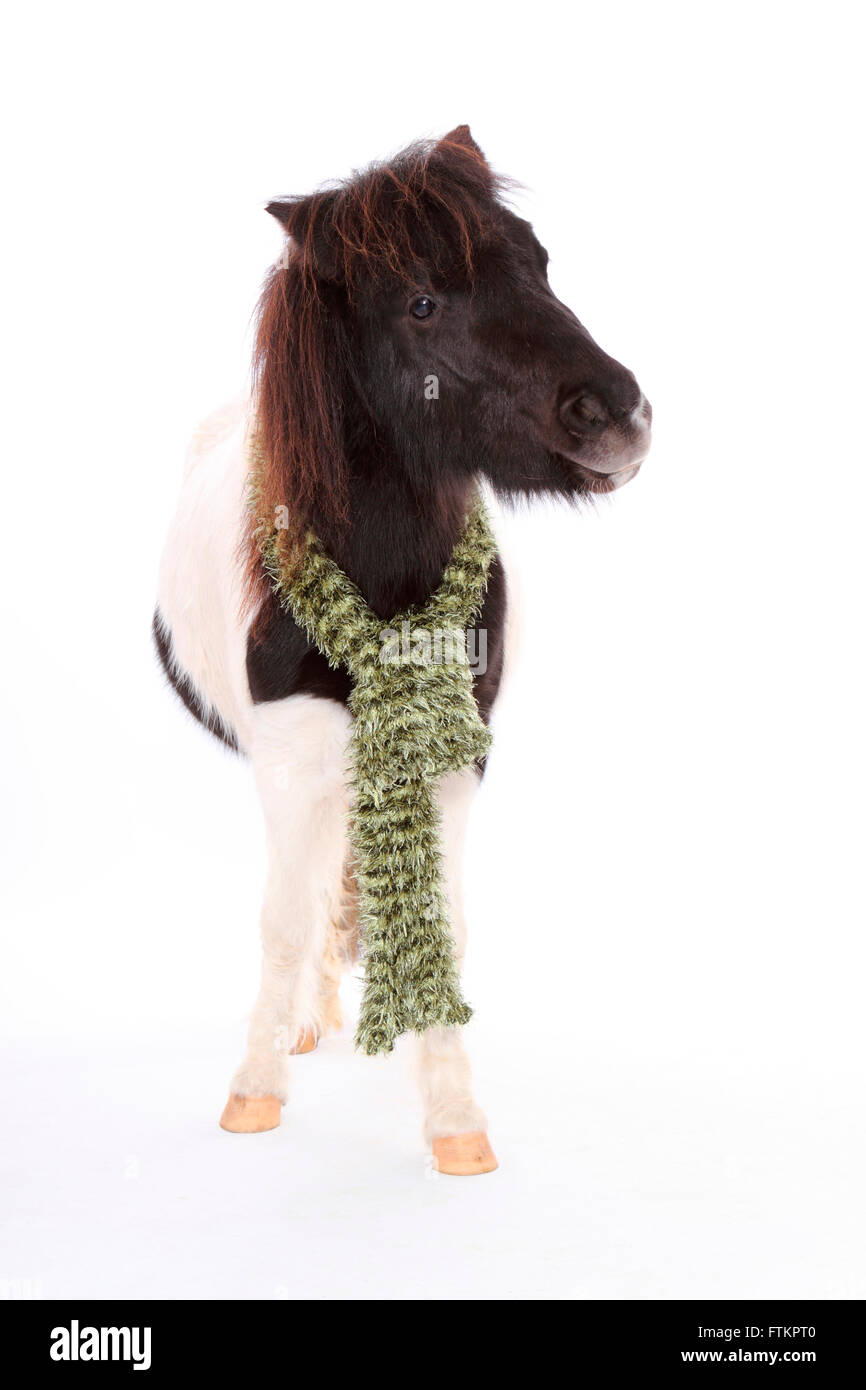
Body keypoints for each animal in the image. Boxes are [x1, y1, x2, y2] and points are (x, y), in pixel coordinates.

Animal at [153, 125, 651, 1175]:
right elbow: (282, 922)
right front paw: (255, 1090)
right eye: (422, 303)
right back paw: (302, 1025)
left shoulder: (457, 756)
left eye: (539, 261)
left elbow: (446, 928)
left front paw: (453, 1112)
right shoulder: (287, 757)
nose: (619, 413)